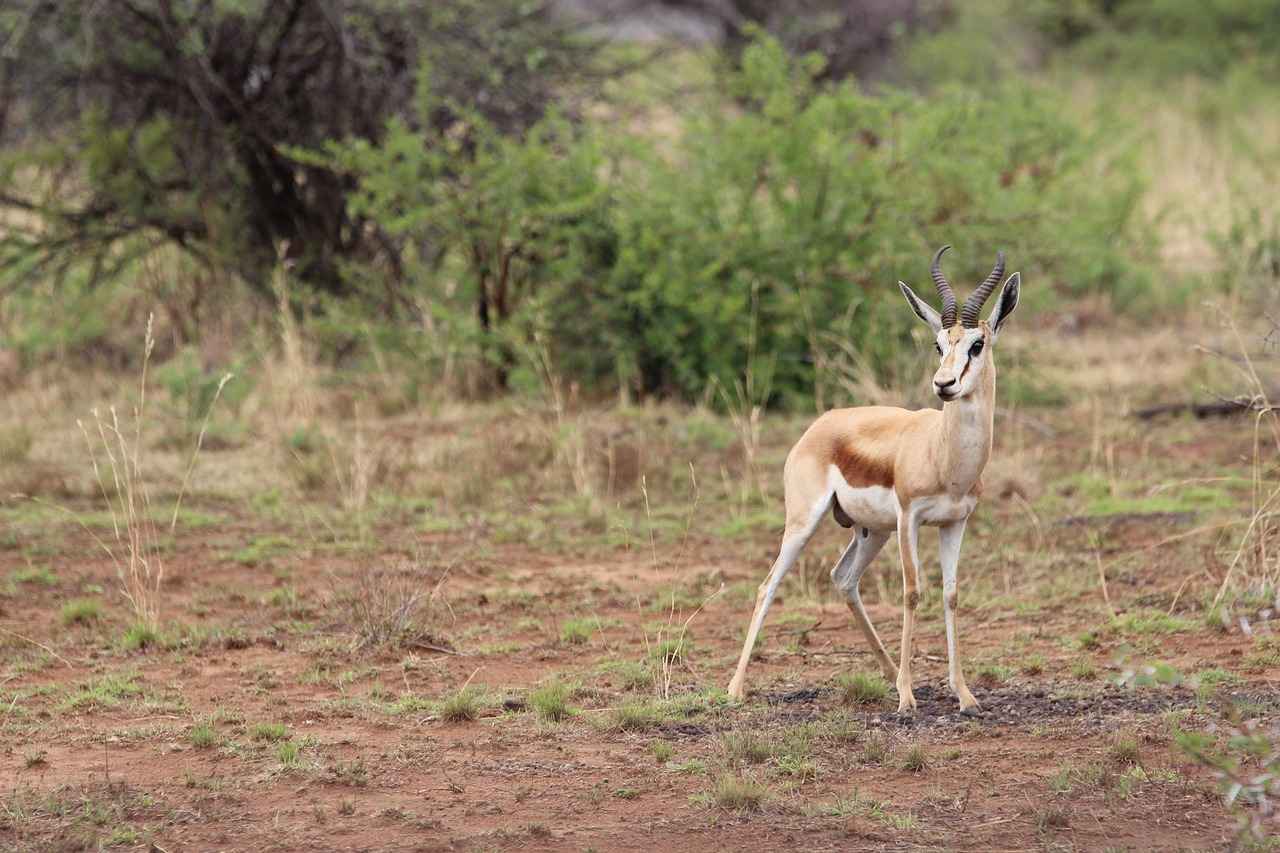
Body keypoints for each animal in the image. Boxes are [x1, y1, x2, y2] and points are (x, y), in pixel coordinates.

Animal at [726, 246, 1021, 715]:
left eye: (978, 344)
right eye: (938, 344)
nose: (943, 384)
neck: (943, 455)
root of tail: (821, 423)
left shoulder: (955, 523)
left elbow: (951, 595)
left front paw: (964, 694)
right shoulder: (909, 518)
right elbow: (912, 592)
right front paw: (907, 697)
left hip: (871, 532)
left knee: (844, 578)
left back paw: (887, 670)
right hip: (806, 523)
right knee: (767, 585)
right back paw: (735, 689)